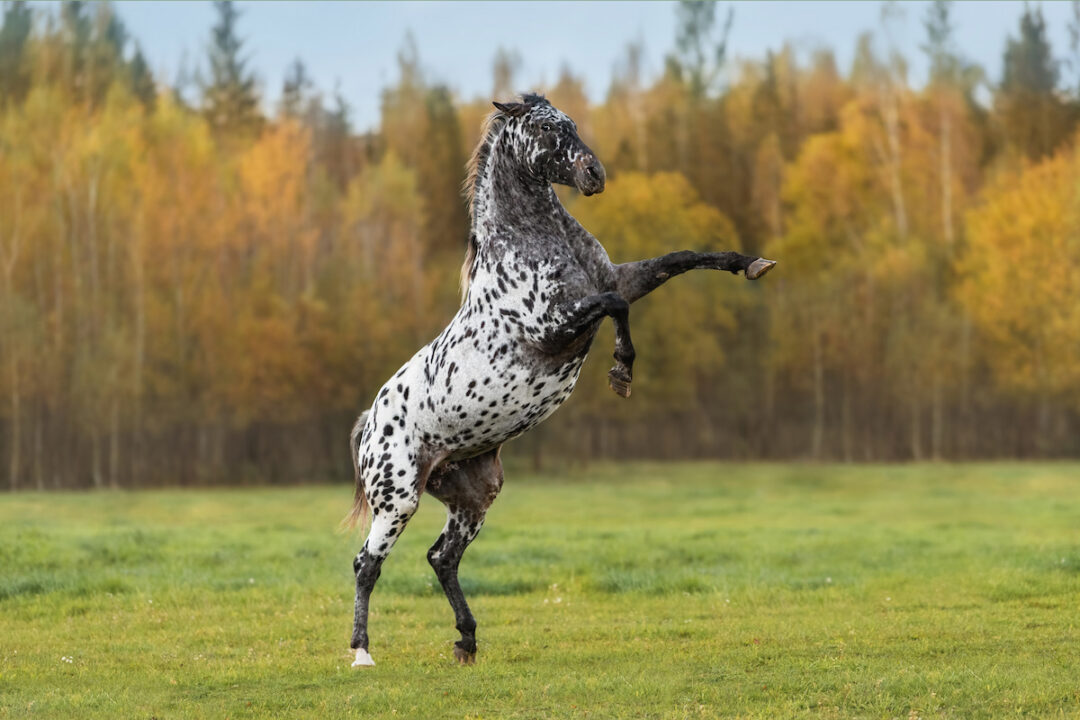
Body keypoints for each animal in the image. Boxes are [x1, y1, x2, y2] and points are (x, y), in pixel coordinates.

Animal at [345, 93, 775, 667]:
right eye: (547, 131)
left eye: (571, 123)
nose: (595, 175)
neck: (530, 238)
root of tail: (370, 422)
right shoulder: (555, 324)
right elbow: (615, 309)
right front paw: (621, 371)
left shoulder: (618, 278)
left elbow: (680, 259)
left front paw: (752, 263)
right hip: (397, 498)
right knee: (367, 564)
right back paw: (362, 652)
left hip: (474, 496)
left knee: (442, 558)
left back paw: (467, 640)